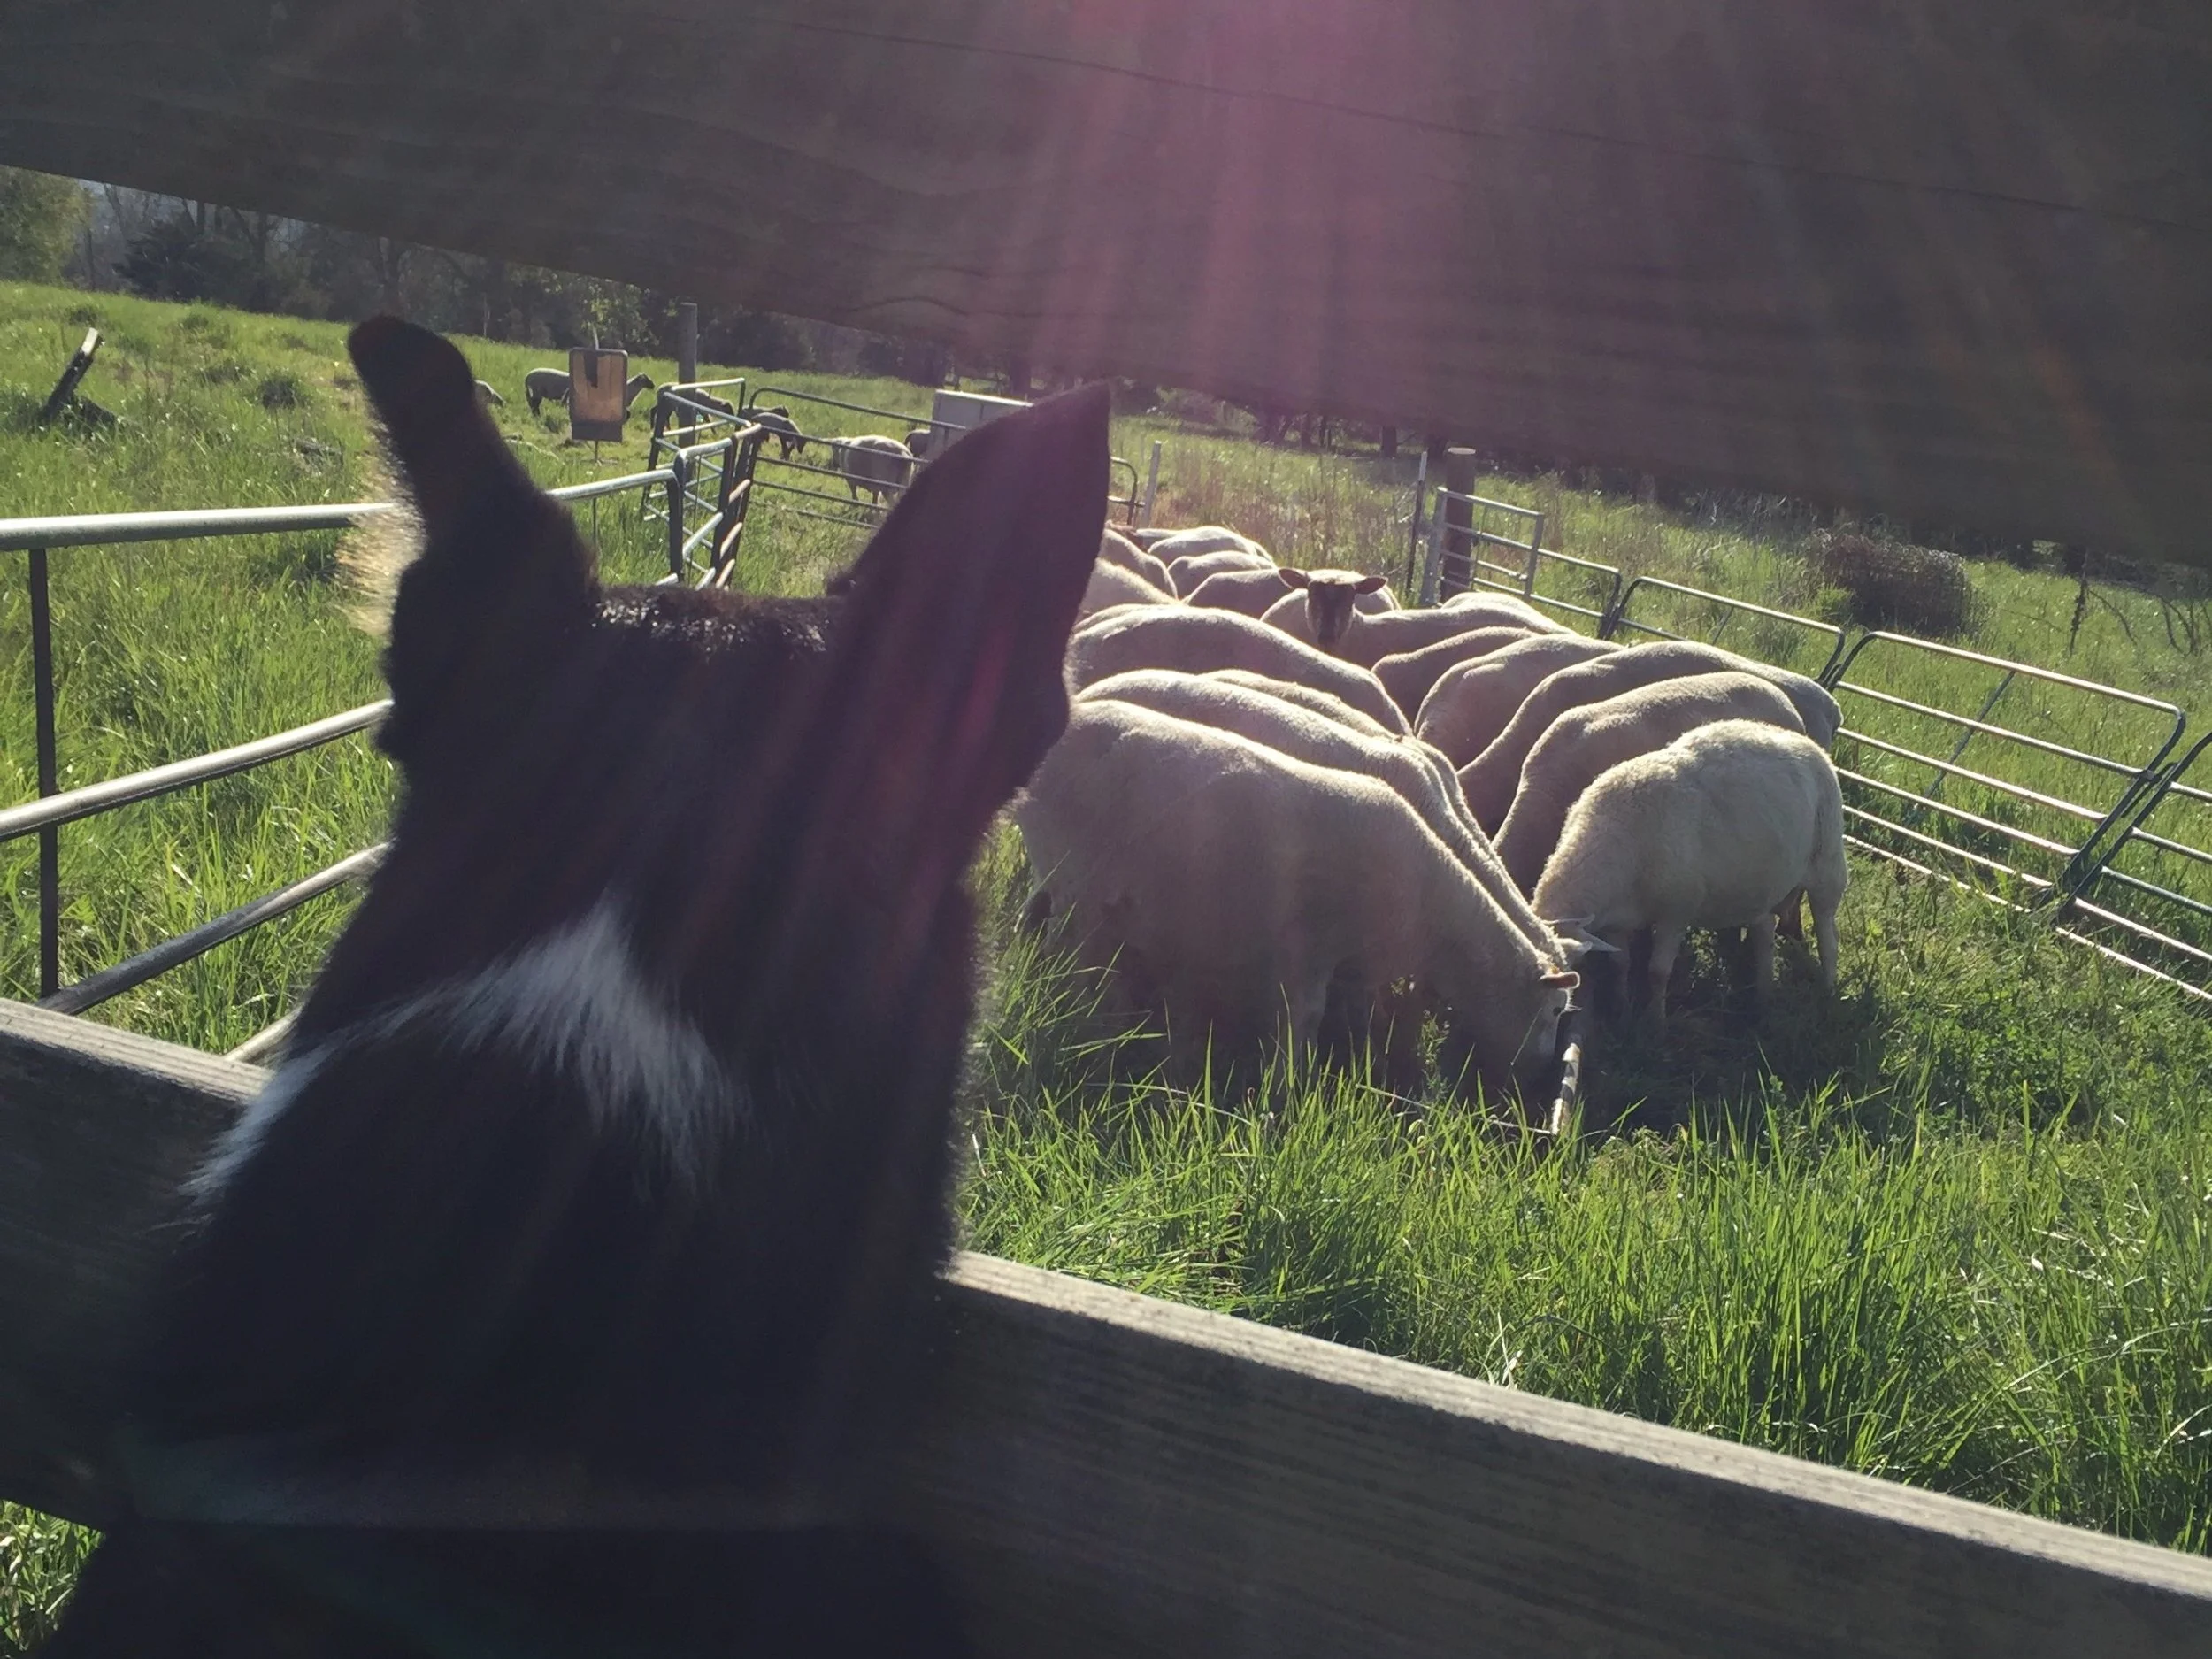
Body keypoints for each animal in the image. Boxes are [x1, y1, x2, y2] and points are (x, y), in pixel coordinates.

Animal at [1016, 700, 1579, 1092]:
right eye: (1555, 1011)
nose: (1536, 1079)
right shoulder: (1306, 954)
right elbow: (1302, 1023)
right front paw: (1289, 1093)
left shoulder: (1356, 967)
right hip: (1077, 887)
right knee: (1074, 965)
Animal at [1533, 720, 1846, 1023]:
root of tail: (1804, 741)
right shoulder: (1617, 922)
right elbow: (1620, 964)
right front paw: (1621, 1008)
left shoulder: (1676, 913)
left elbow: (1658, 972)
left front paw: (1655, 1021)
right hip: (1763, 882)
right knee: (1764, 930)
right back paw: (1763, 996)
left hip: (1828, 866)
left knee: (1828, 938)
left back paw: (1828, 991)